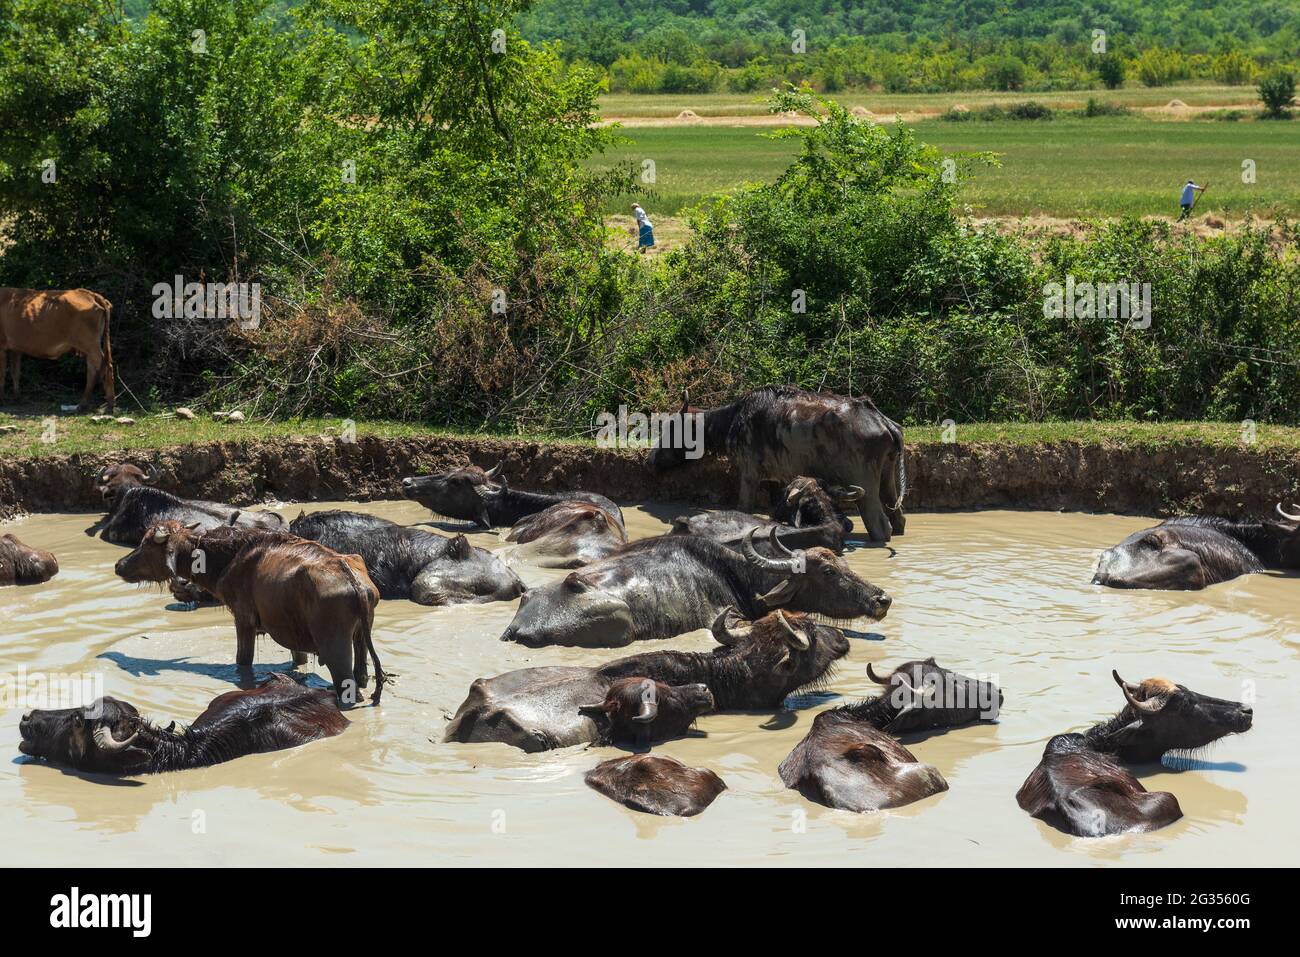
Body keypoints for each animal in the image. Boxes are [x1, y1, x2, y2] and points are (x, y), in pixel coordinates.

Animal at [114, 522, 385, 705]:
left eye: (146, 544)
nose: (119, 565)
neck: (228, 557)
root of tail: (355, 582)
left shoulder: (244, 619)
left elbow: (243, 659)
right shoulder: (291, 631)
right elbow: (298, 659)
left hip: (334, 647)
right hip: (361, 636)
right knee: (361, 673)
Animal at [649, 385, 906, 542]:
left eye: (672, 429)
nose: (650, 459)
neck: (734, 419)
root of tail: (880, 419)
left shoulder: (749, 475)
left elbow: (744, 508)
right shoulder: (777, 480)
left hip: (864, 487)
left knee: (881, 527)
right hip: (887, 476)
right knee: (898, 519)